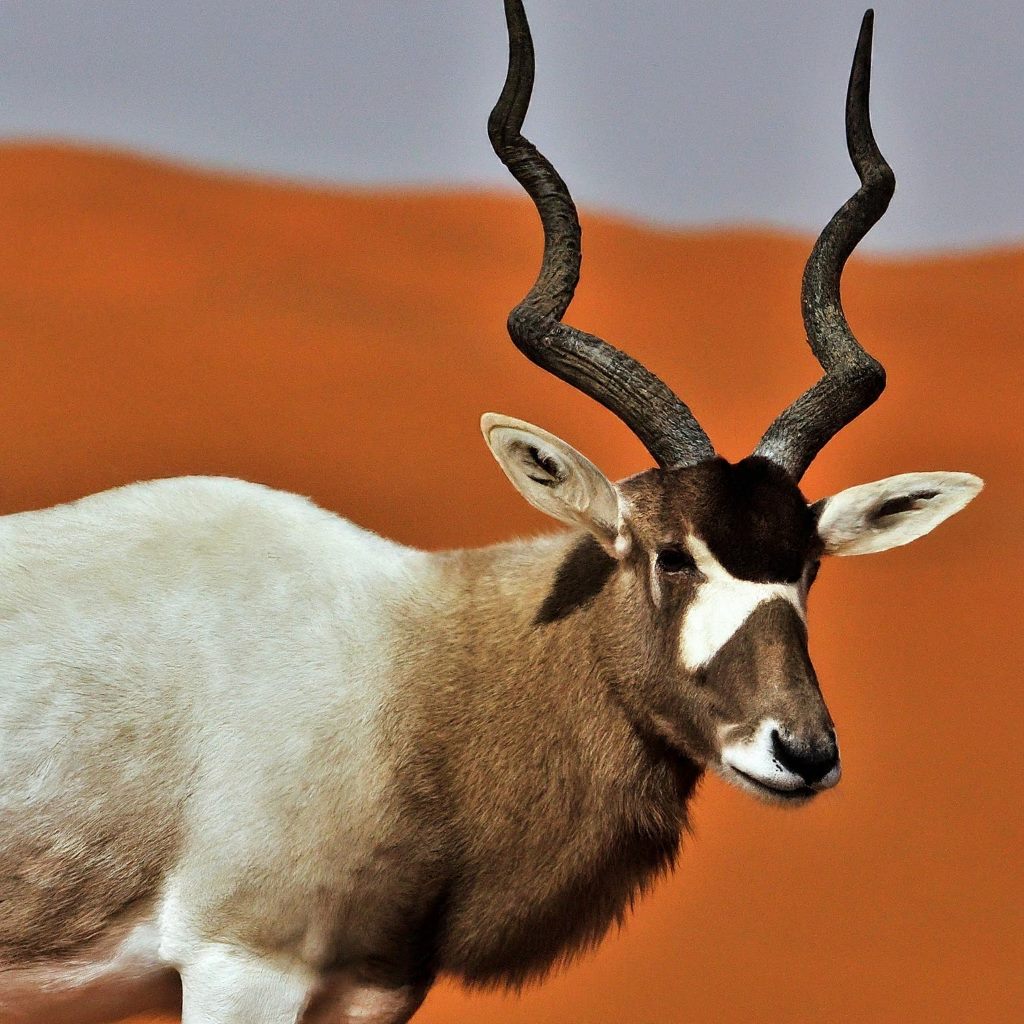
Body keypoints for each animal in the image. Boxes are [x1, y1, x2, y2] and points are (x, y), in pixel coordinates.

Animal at [0, 2, 982, 1023]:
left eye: (809, 564)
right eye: (668, 554)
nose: (803, 752)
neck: (422, 665)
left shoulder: (371, 988)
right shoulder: (242, 966)